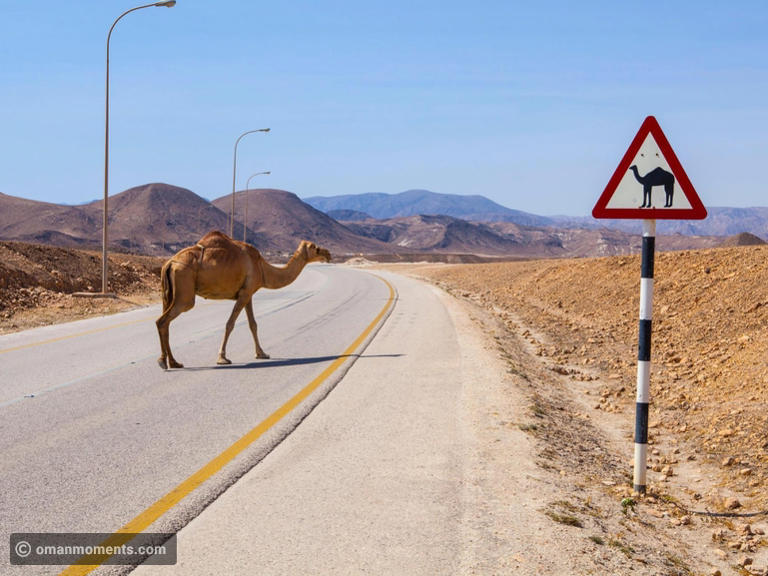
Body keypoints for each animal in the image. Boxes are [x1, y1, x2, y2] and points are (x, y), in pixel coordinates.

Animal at [156, 231, 331, 369]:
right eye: (315, 247)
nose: (328, 254)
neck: (262, 267)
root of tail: (169, 263)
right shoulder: (245, 293)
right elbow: (230, 324)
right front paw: (222, 358)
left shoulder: (248, 294)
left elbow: (253, 324)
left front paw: (261, 353)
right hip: (184, 291)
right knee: (163, 321)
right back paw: (165, 361)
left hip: (168, 294)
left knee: (165, 322)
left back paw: (173, 362)